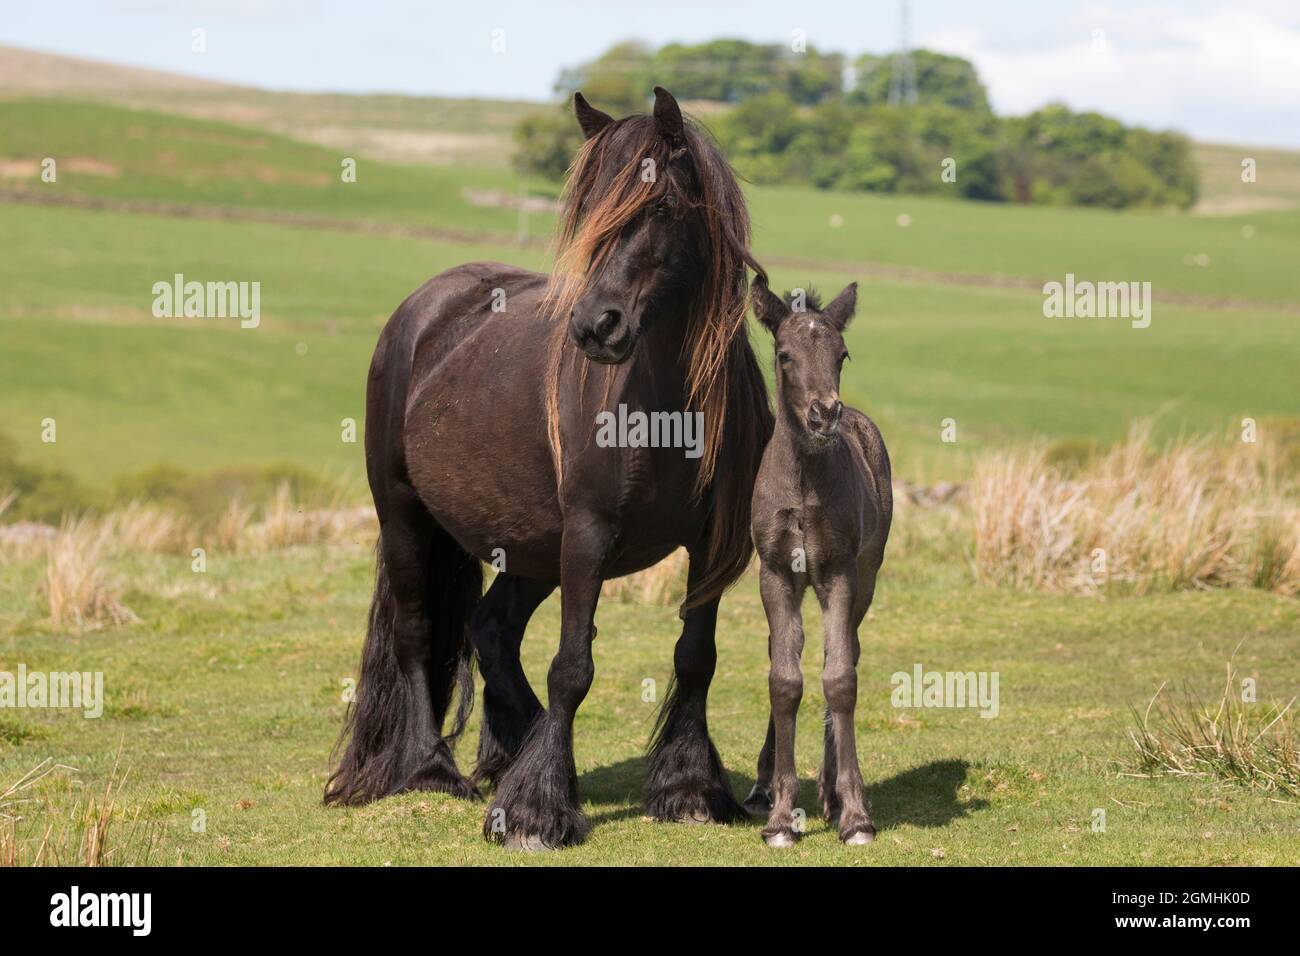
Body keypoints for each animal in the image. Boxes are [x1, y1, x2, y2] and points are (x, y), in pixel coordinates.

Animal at [324, 87, 774, 850]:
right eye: (590, 207)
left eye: (661, 206)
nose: (596, 326)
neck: (667, 401)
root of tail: (426, 308)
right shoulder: (588, 537)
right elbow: (572, 667)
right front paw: (539, 810)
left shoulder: (711, 545)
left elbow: (696, 657)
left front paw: (688, 788)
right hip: (406, 516)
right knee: (418, 633)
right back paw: (431, 768)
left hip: (531, 548)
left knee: (491, 630)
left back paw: (513, 750)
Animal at [742, 277, 893, 847]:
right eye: (785, 354)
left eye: (841, 354)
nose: (825, 413)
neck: (805, 483)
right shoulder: (776, 576)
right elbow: (784, 681)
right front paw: (780, 819)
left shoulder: (840, 574)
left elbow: (840, 679)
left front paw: (855, 816)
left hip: (866, 578)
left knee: (844, 652)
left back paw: (832, 795)